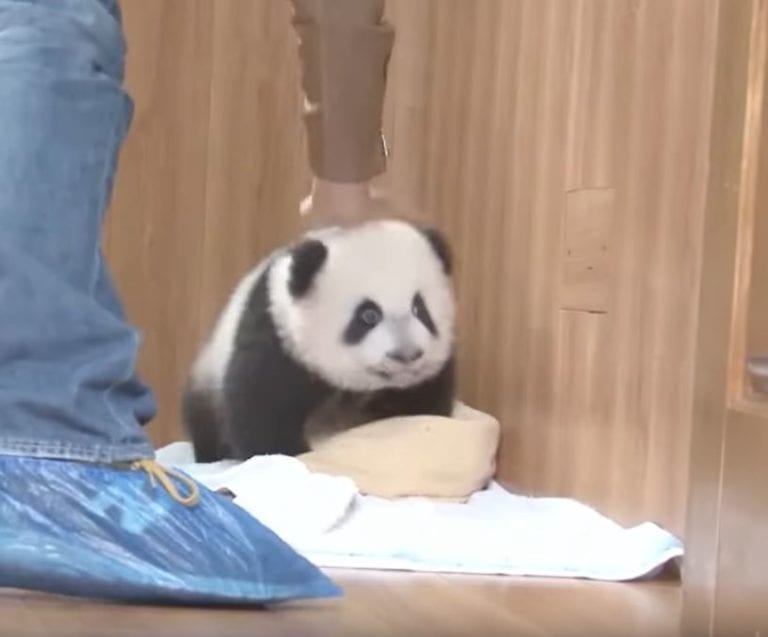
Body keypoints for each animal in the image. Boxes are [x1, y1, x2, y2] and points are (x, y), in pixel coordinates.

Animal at [182, 219, 456, 462]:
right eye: (368, 315)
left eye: (419, 309)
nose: (406, 355)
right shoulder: (277, 337)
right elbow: (260, 406)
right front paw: (288, 452)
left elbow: (424, 402)